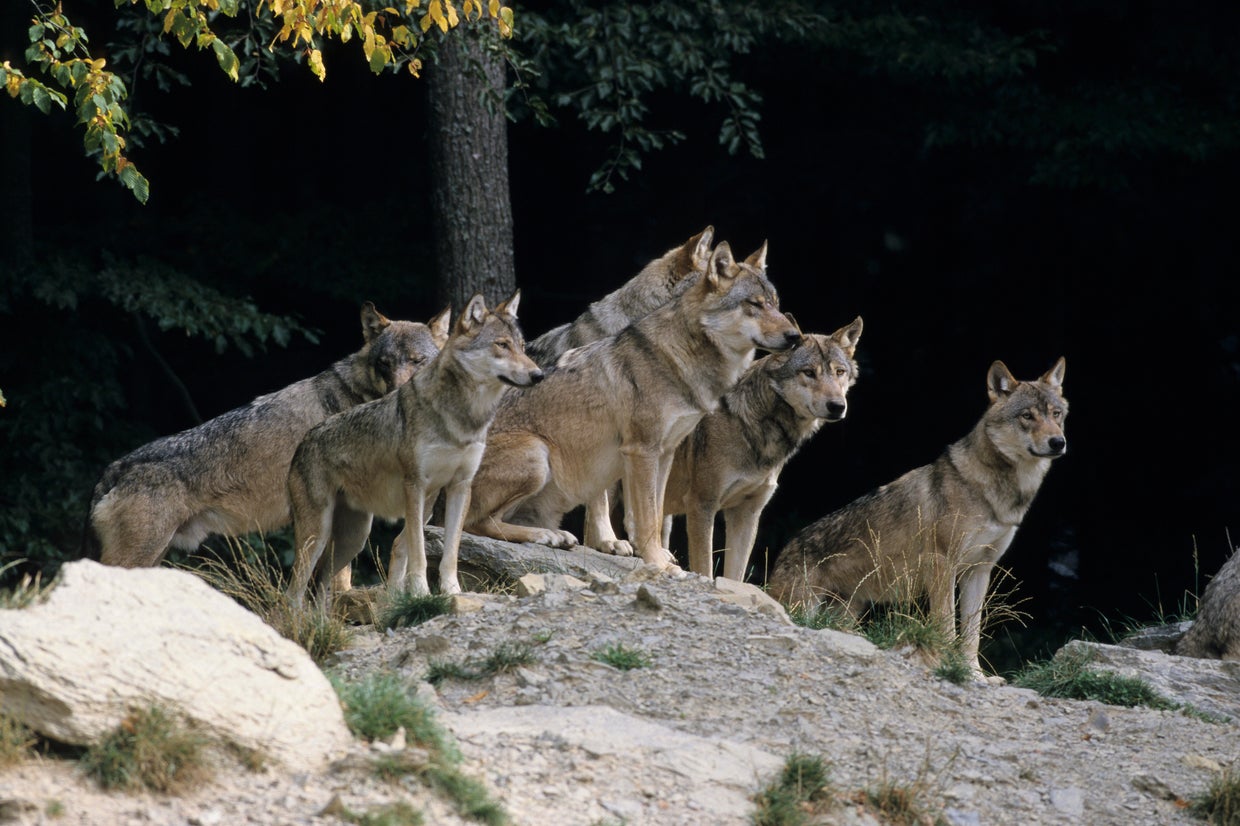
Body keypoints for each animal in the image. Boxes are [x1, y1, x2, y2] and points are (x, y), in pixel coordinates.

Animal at [284, 291, 542, 604]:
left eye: (522, 346)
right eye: (502, 345)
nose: (539, 375)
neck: (463, 418)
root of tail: (303, 441)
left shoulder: (460, 487)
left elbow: (450, 551)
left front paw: (452, 591)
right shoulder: (415, 486)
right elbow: (418, 550)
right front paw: (420, 593)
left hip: (353, 539)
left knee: (321, 588)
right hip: (317, 537)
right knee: (293, 593)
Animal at [462, 241, 802, 569]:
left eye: (776, 303)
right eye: (755, 304)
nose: (795, 336)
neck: (679, 359)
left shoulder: (665, 452)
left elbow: (655, 516)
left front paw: (658, 557)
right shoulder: (641, 450)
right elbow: (645, 516)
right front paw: (656, 563)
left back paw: (555, 536)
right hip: (537, 454)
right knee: (475, 523)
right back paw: (547, 536)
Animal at [661, 316, 863, 582]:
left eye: (839, 372)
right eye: (809, 373)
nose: (837, 406)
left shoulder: (746, 513)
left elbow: (734, 575)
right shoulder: (701, 505)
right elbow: (705, 568)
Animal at [767, 357, 1068, 679]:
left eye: (1056, 414)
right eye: (1027, 416)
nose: (1058, 442)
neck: (996, 492)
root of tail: (785, 548)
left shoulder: (979, 570)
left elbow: (972, 633)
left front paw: (973, 673)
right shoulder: (942, 564)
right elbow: (947, 625)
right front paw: (945, 663)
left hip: (848, 612)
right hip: (805, 606)